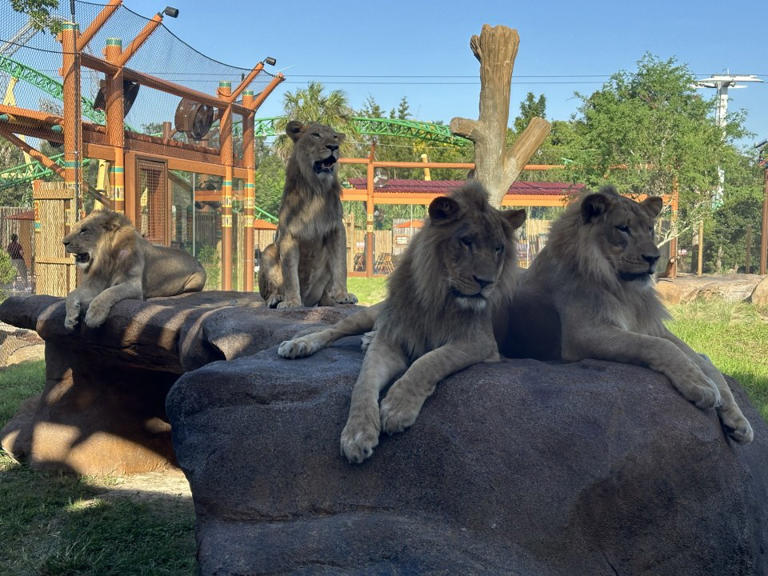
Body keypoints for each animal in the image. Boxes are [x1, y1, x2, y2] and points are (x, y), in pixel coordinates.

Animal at [62, 210, 206, 329]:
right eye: (74, 228)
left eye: (84, 230)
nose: (64, 242)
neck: (106, 259)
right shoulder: (95, 283)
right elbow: (72, 294)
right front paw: (70, 319)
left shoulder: (132, 284)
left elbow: (108, 293)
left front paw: (94, 316)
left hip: (197, 279)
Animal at [258, 120, 357, 309]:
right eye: (315, 135)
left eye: (334, 137)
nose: (334, 147)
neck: (316, 190)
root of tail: (308, 301)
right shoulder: (288, 234)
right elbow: (290, 275)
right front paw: (291, 302)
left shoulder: (336, 229)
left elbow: (341, 265)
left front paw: (343, 295)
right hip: (268, 251)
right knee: (268, 293)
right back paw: (276, 298)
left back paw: (328, 300)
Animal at [279, 182, 526, 463]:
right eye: (466, 242)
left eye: (498, 248)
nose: (486, 283)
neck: (438, 296)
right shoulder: (391, 338)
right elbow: (363, 382)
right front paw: (356, 433)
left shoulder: (481, 342)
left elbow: (429, 361)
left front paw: (397, 408)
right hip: (370, 314)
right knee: (333, 329)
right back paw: (299, 345)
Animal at [495, 186, 753, 443]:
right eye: (623, 228)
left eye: (650, 229)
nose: (654, 258)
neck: (624, 290)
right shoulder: (584, 334)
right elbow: (660, 347)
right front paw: (700, 386)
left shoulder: (653, 327)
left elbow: (704, 363)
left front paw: (738, 421)